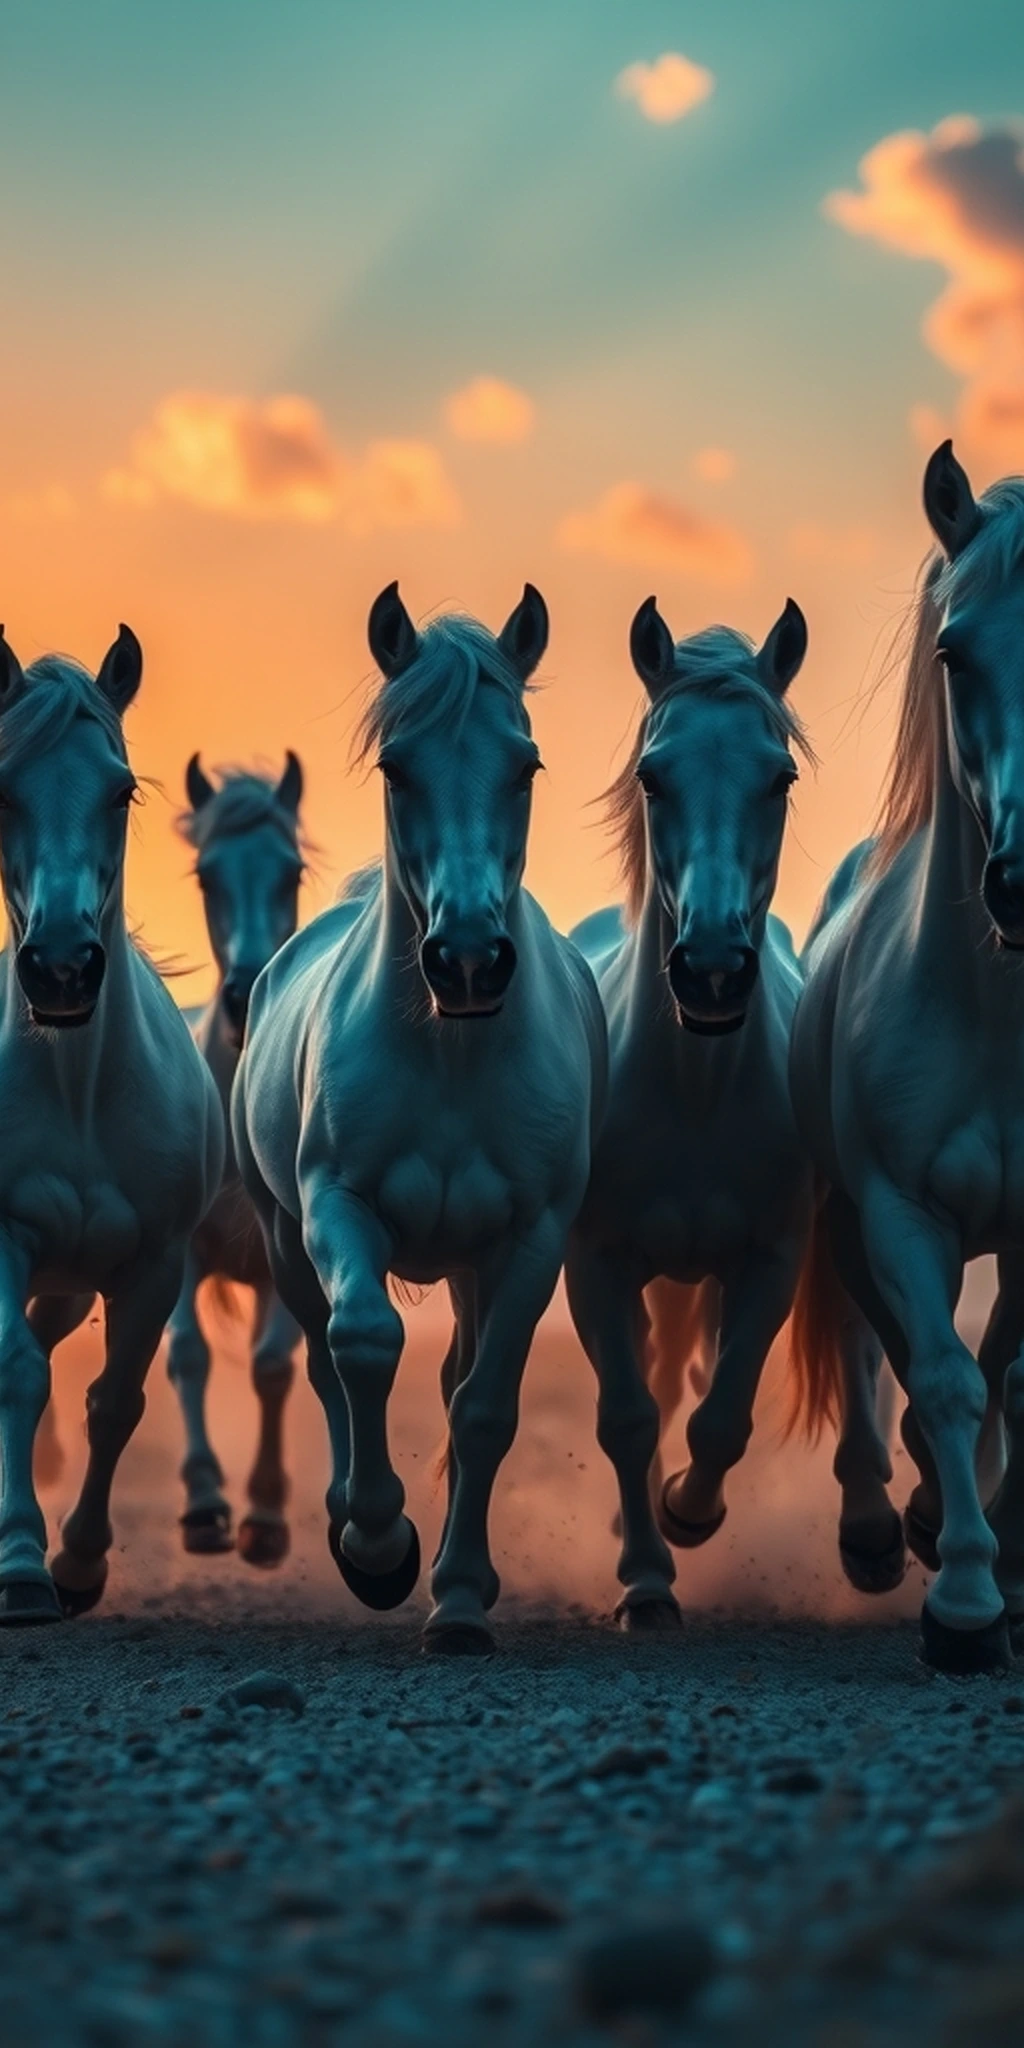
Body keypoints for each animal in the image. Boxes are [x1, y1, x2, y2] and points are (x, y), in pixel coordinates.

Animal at [233, 582, 606, 1652]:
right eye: (398, 766)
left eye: (525, 765)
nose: (469, 959)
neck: (450, 1052)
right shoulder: (336, 1209)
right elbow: (362, 1344)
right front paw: (377, 1545)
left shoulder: (531, 1239)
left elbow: (482, 1410)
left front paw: (462, 1598)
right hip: (284, 1238)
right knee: (325, 1362)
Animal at [565, 596, 904, 1628]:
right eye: (653, 774)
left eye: (779, 775)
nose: (711, 970)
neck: (695, 1089)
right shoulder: (596, 1265)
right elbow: (630, 1416)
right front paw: (644, 1579)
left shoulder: (770, 1259)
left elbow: (724, 1413)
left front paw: (690, 1511)